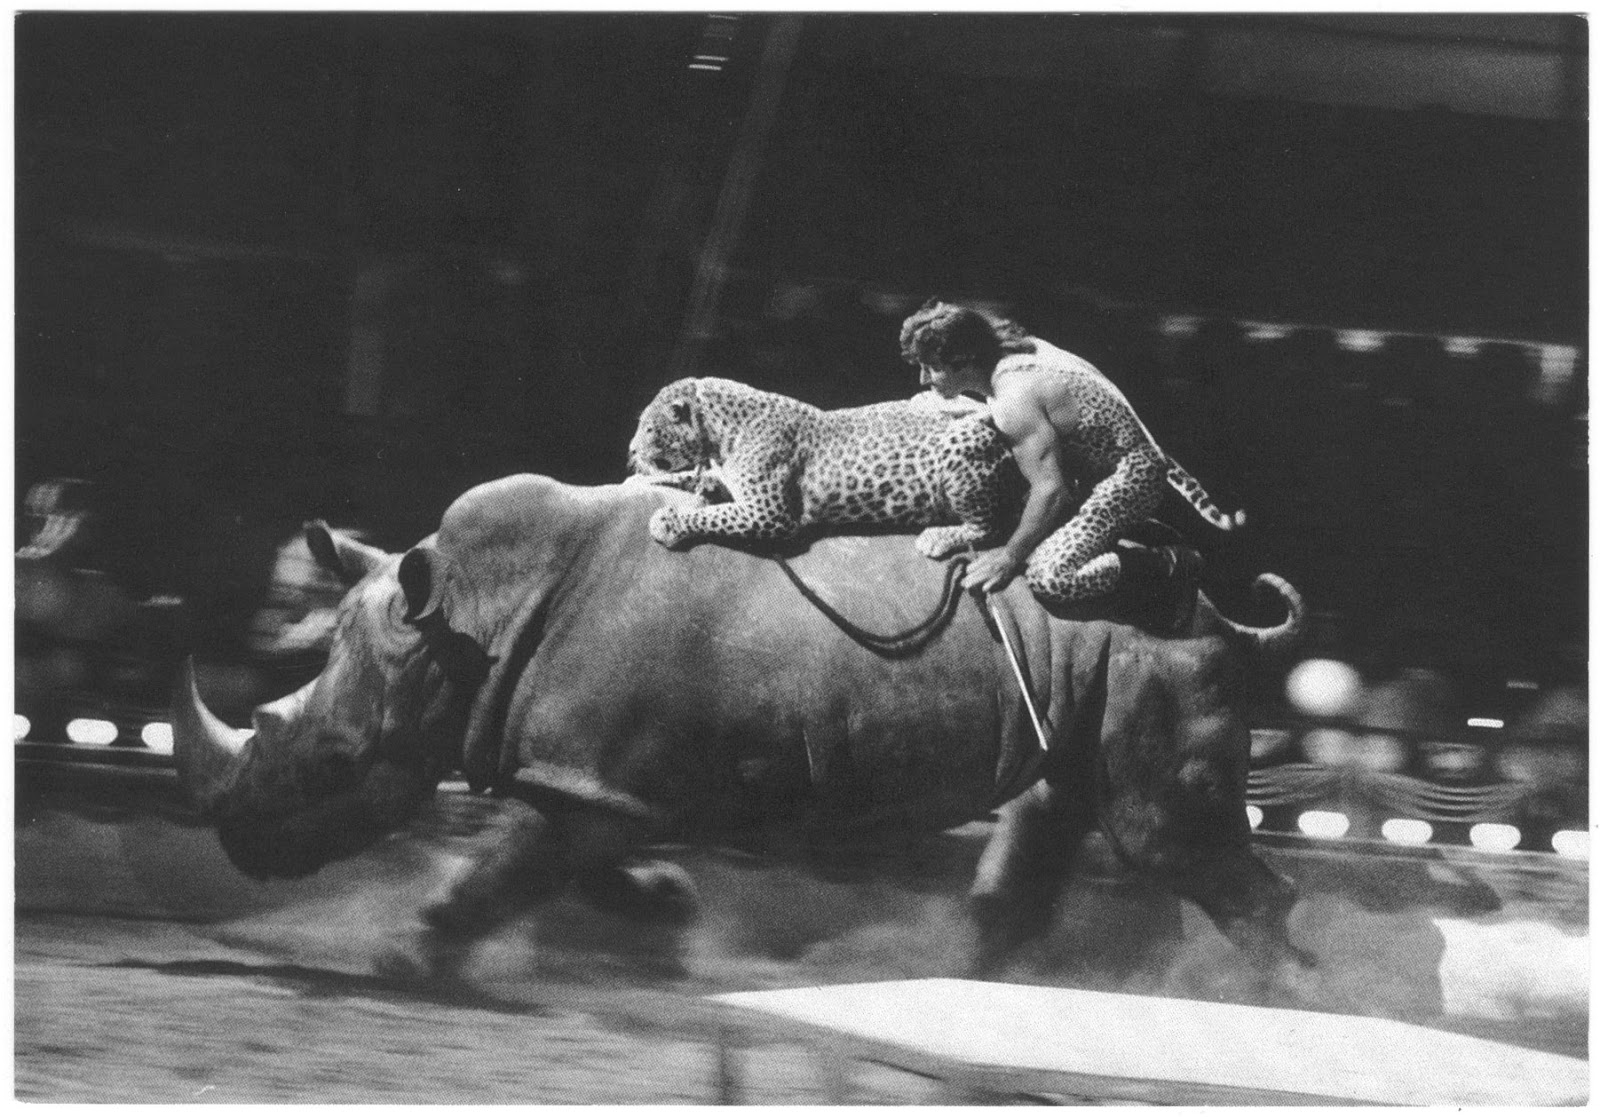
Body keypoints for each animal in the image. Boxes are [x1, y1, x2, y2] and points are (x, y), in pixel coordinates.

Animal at [173, 473, 1310, 980]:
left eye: (326, 757)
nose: (239, 844)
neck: (468, 619)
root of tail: (1218, 611)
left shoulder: (592, 779)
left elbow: (505, 867)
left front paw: (404, 965)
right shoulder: (597, 780)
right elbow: (566, 862)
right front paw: (672, 910)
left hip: (1154, 653)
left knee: (1163, 837)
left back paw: (1258, 1005)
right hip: (1097, 656)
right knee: (1060, 805)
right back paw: (960, 989)